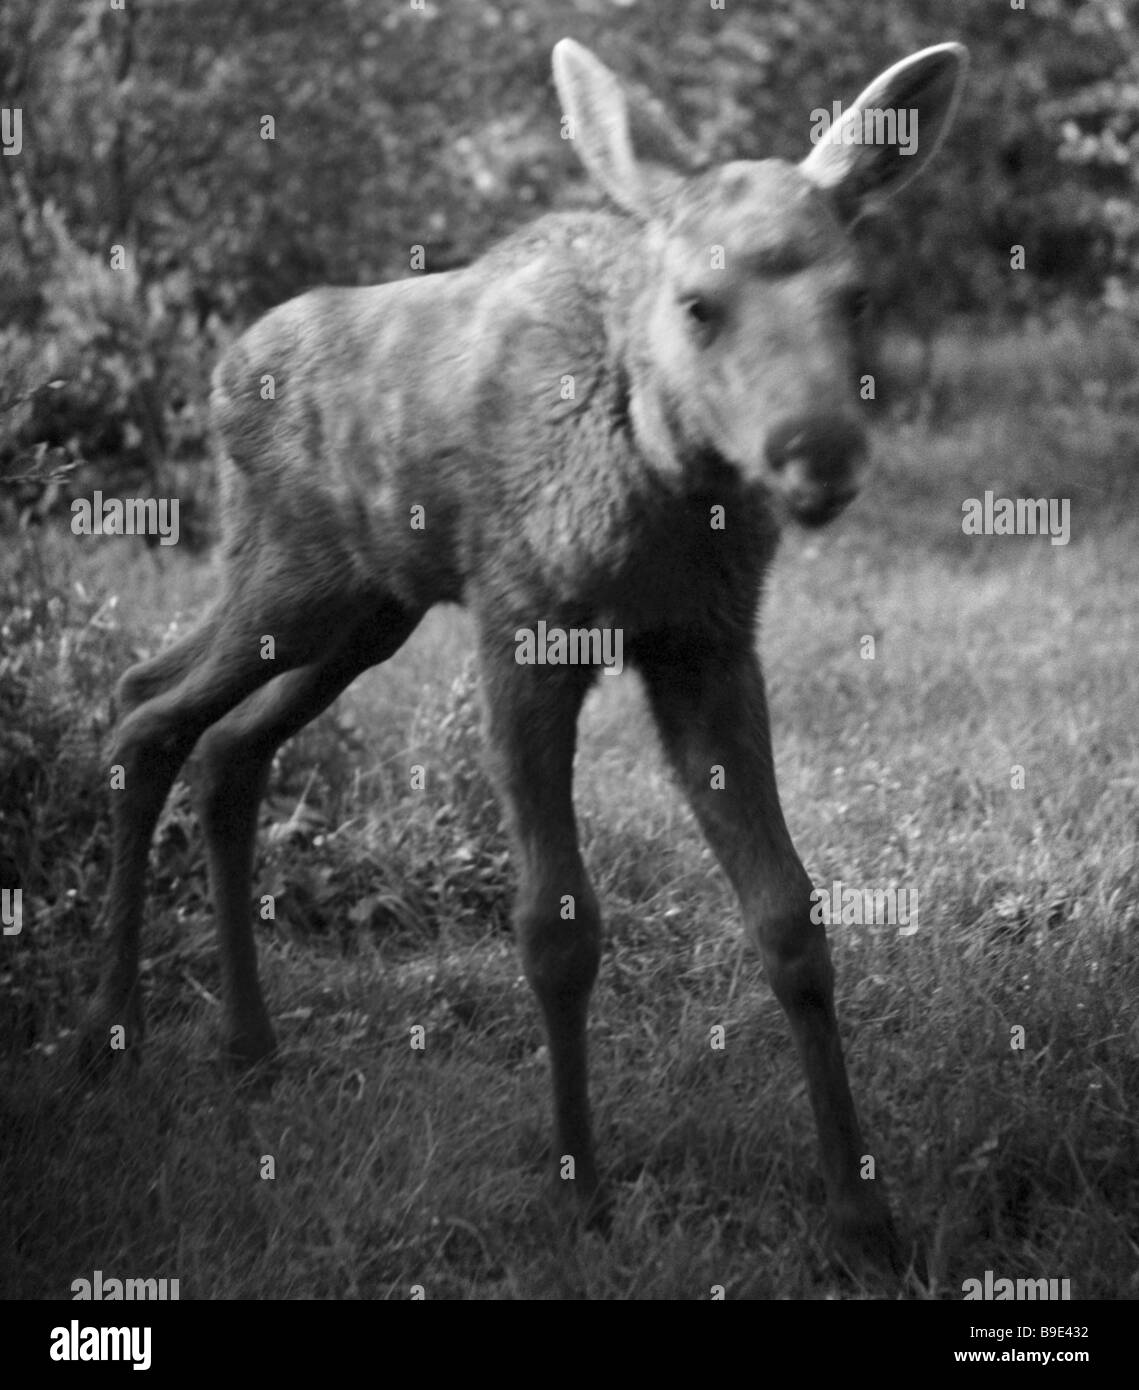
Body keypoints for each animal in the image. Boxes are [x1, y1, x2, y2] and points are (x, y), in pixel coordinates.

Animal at [77, 37, 968, 1275]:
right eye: (698, 303)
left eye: (855, 297)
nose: (818, 453)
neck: (654, 483)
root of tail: (217, 371)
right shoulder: (521, 626)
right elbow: (556, 925)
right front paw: (578, 1196)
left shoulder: (706, 644)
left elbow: (789, 915)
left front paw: (860, 1218)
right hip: (288, 577)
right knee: (141, 705)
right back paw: (108, 1039)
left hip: (367, 611)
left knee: (226, 747)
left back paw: (246, 1046)